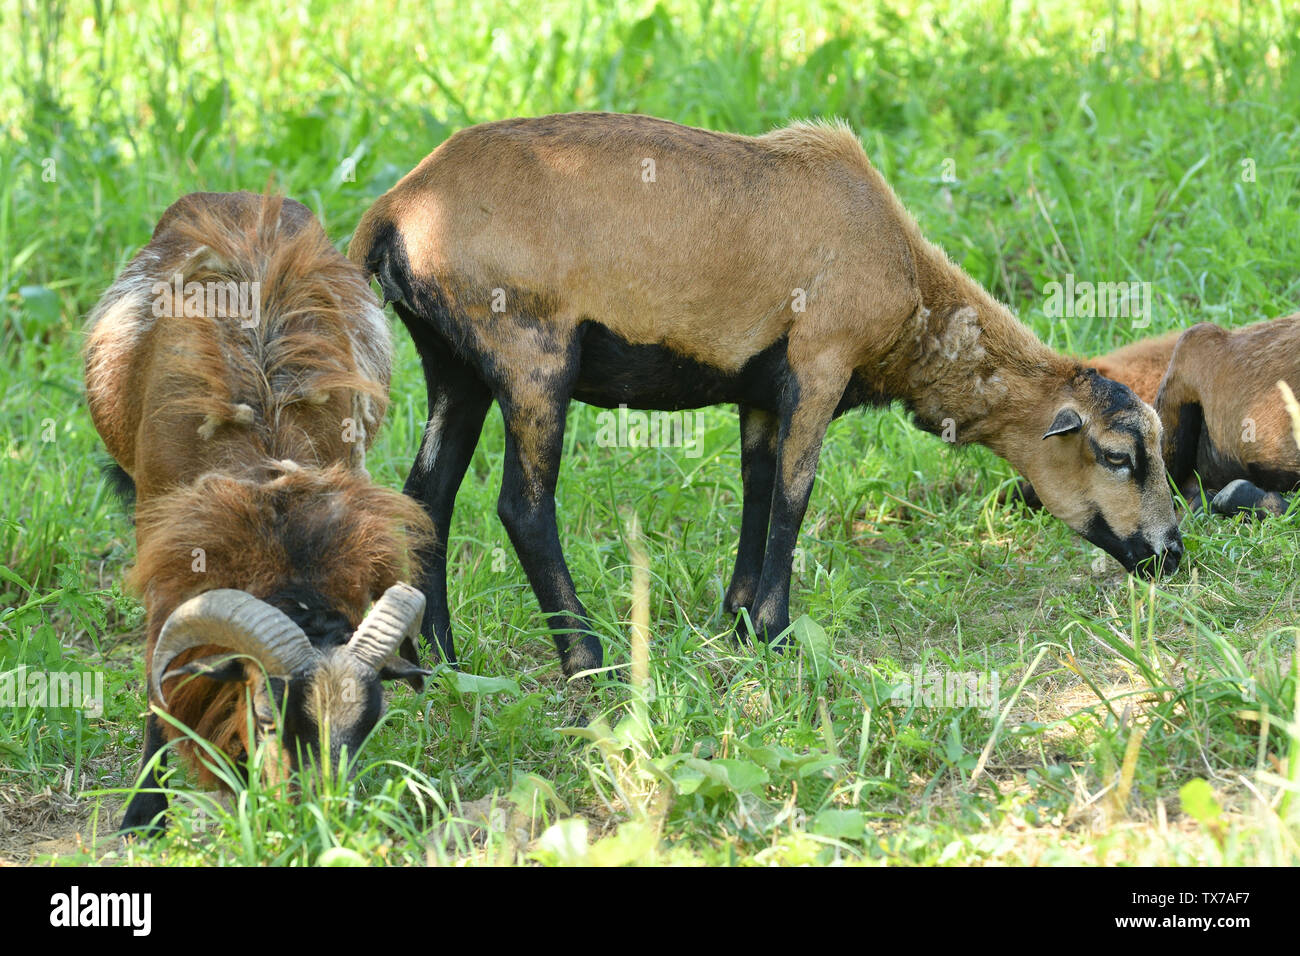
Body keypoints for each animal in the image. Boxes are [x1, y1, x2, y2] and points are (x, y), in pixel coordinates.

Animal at [84, 192, 434, 836]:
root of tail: (243, 199)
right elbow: (156, 689)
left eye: (367, 723)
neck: (271, 493)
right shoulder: (165, 553)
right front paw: (144, 815)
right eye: (268, 715)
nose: (321, 818)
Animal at [348, 112, 1182, 677]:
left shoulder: (757, 389)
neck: (913, 301)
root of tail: (393, 211)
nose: (1173, 554)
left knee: (426, 497)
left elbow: (756, 487)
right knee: (522, 507)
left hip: (454, 364)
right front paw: (777, 633)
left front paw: (737, 621)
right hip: (530, 353)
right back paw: (588, 660)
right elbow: (793, 494)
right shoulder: (819, 362)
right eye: (1119, 455)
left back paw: (441, 659)